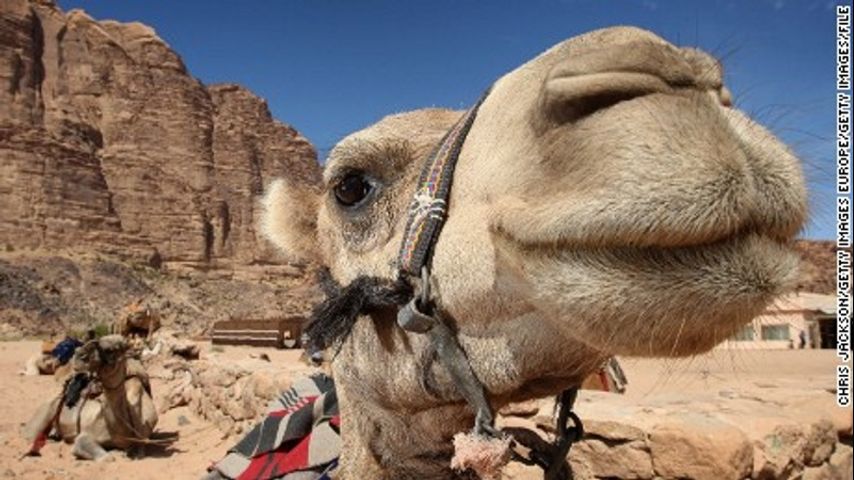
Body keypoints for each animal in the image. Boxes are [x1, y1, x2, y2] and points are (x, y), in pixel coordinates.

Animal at [23, 335, 158, 461]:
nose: (79, 355)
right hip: (48, 409)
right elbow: (106, 457)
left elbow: (137, 450)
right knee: (29, 434)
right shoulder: (84, 436)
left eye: (110, 350)